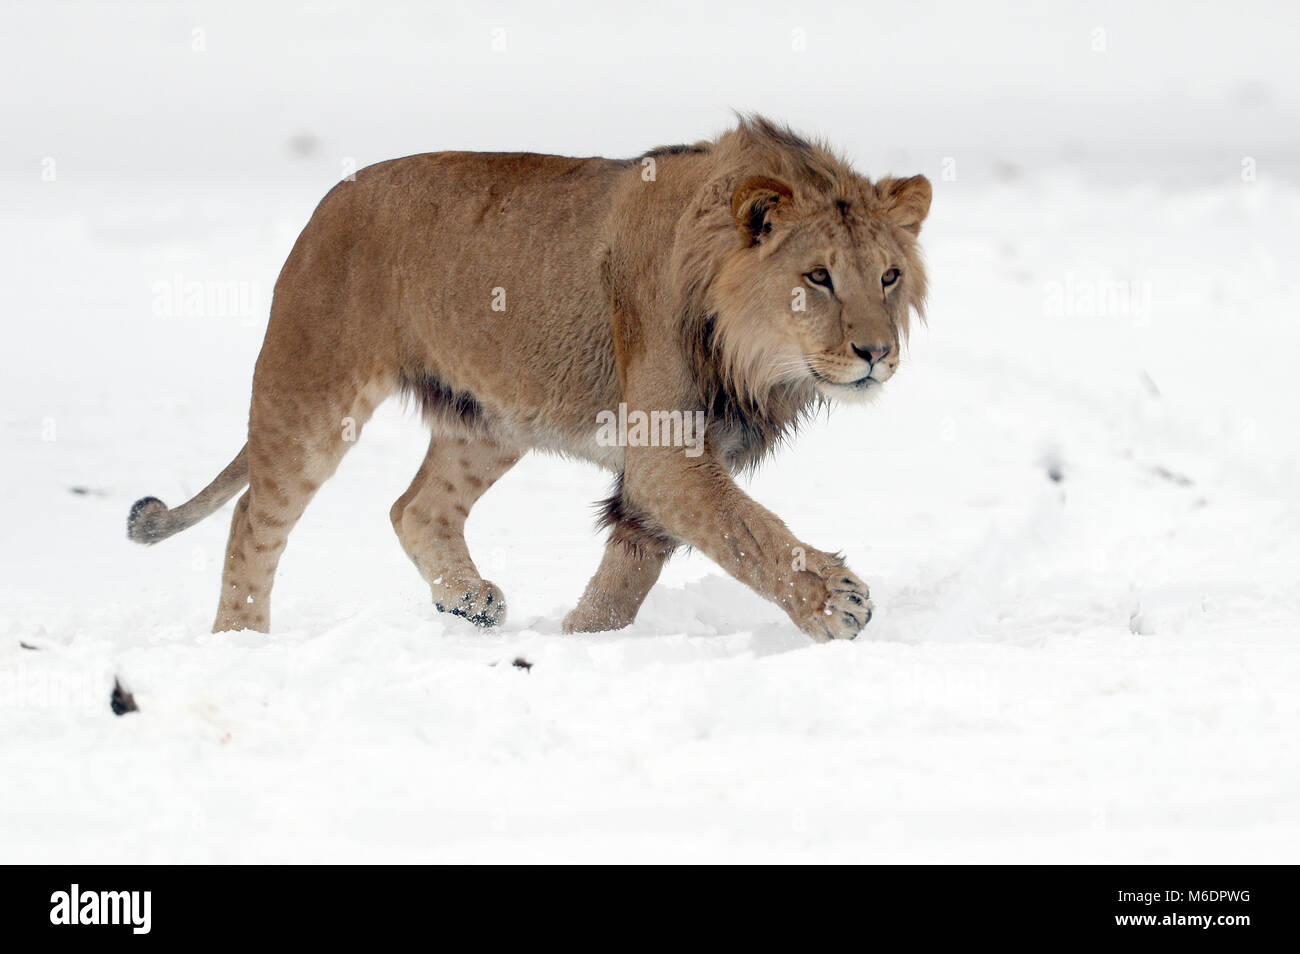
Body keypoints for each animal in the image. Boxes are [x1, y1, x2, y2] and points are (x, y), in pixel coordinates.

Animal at [127, 116, 931, 641]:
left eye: (888, 277)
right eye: (818, 277)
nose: (875, 352)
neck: (756, 360)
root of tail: (330, 199)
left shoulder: (670, 471)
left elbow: (627, 576)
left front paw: (582, 642)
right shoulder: (668, 455)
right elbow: (750, 533)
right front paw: (833, 602)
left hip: (490, 418)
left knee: (415, 508)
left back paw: (470, 601)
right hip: (312, 391)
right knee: (253, 517)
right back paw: (240, 641)